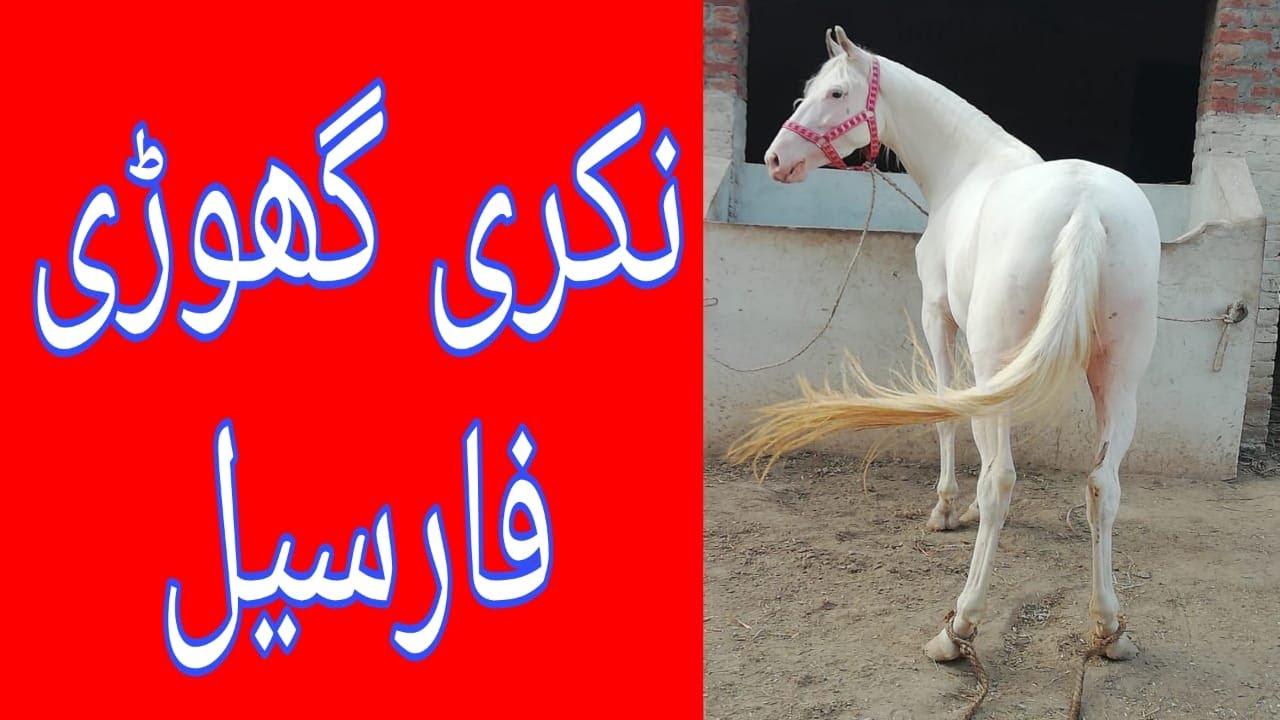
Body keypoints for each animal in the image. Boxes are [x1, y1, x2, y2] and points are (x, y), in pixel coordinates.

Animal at [728, 26, 1159, 669]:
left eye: (836, 92)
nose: (779, 159)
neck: (969, 166)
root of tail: (1084, 206)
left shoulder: (938, 319)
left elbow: (946, 414)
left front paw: (946, 509)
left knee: (1002, 480)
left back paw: (959, 627)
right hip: (1118, 376)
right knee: (1103, 486)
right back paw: (1109, 629)